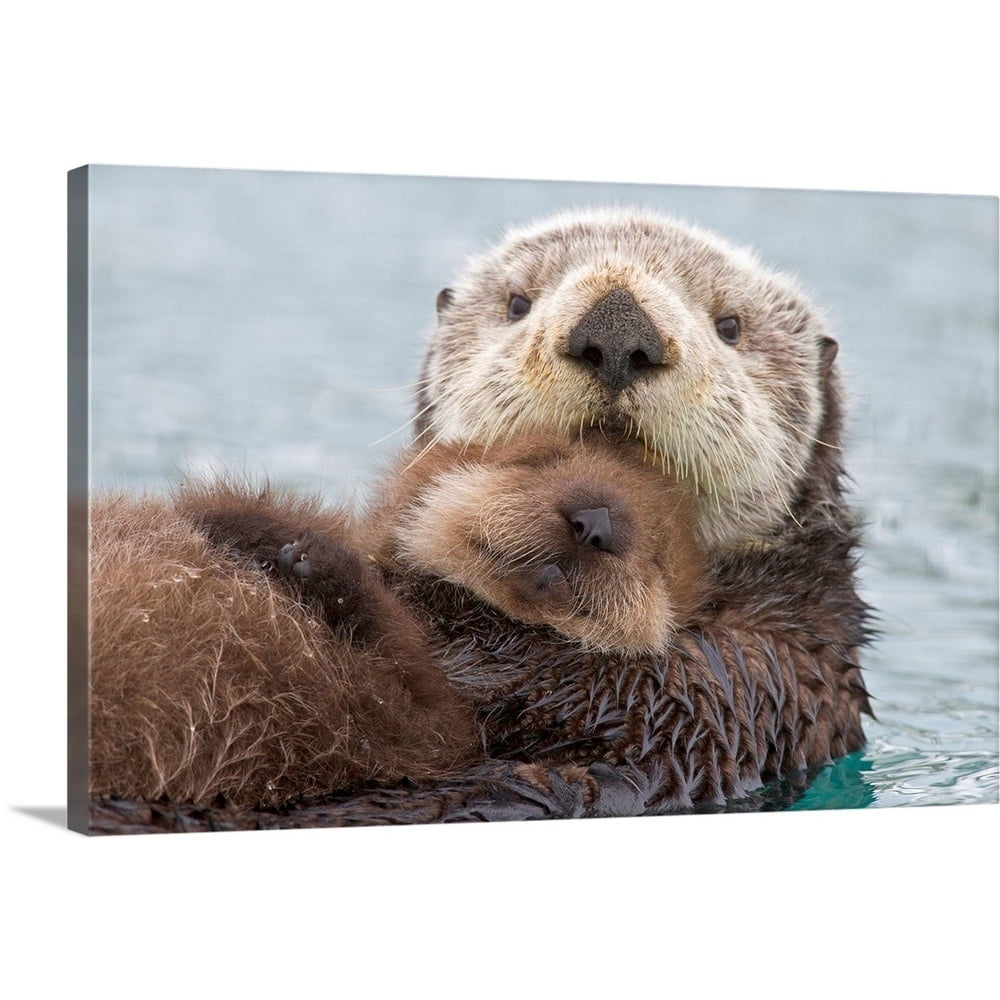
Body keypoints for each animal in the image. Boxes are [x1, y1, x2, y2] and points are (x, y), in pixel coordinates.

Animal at [89, 436, 707, 812]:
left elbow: (410, 705)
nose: (596, 523)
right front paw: (253, 532)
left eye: (656, 551)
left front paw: (318, 561)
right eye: (540, 461)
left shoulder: (427, 731)